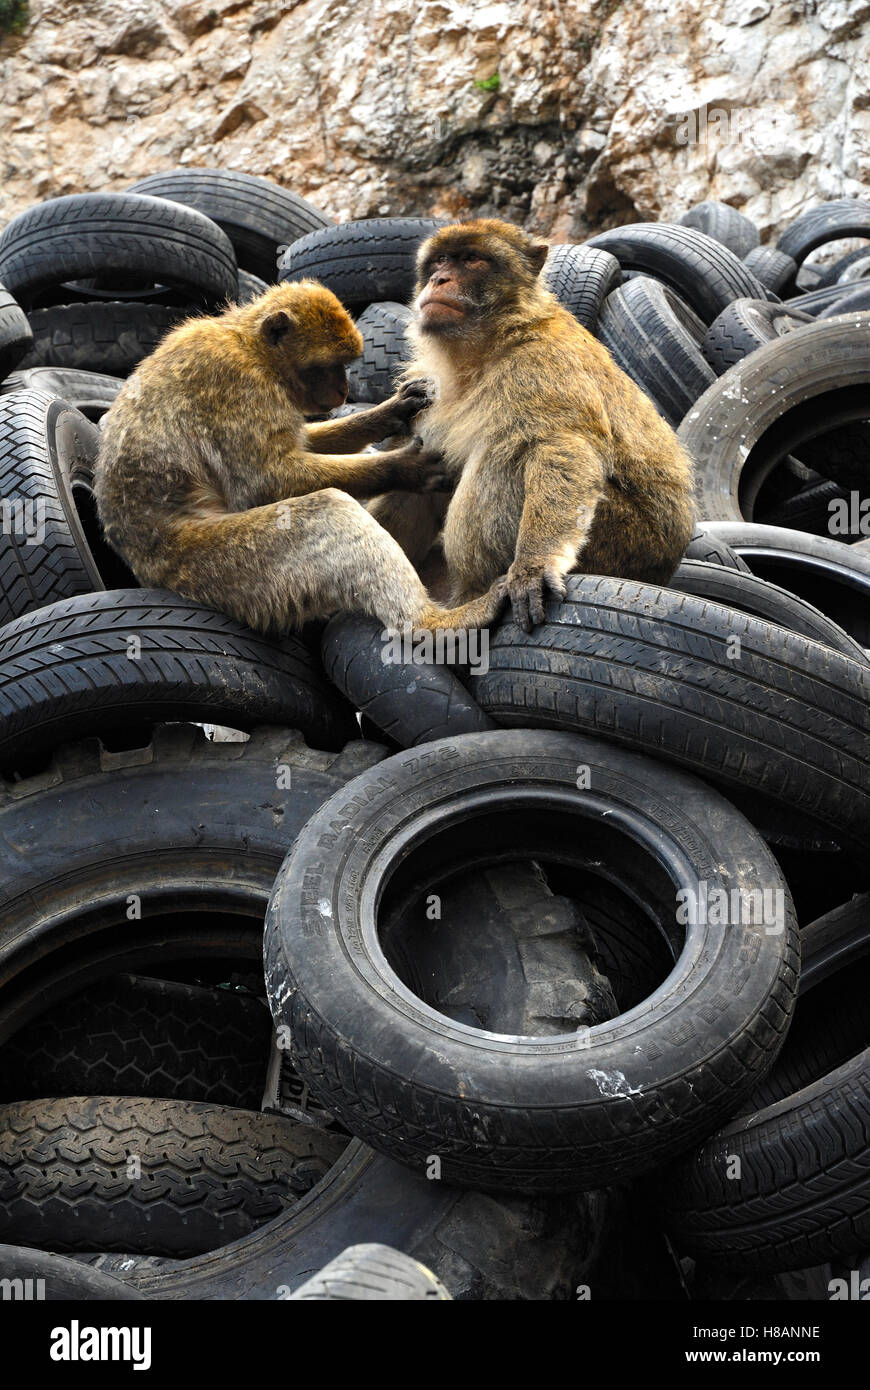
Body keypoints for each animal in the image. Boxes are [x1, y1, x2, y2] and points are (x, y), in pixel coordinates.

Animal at [93, 281, 507, 637]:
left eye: (346, 365)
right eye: (327, 366)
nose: (343, 391)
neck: (251, 347)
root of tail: (145, 570)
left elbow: (303, 444)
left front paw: (390, 411)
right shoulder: (236, 382)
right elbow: (265, 481)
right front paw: (403, 468)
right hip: (215, 570)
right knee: (330, 513)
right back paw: (428, 623)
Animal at [368, 218, 696, 632]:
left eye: (471, 260)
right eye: (440, 260)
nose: (440, 279)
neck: (488, 344)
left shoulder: (541, 365)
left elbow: (560, 449)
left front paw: (534, 566)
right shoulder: (428, 384)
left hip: (624, 544)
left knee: (503, 455)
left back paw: (470, 601)